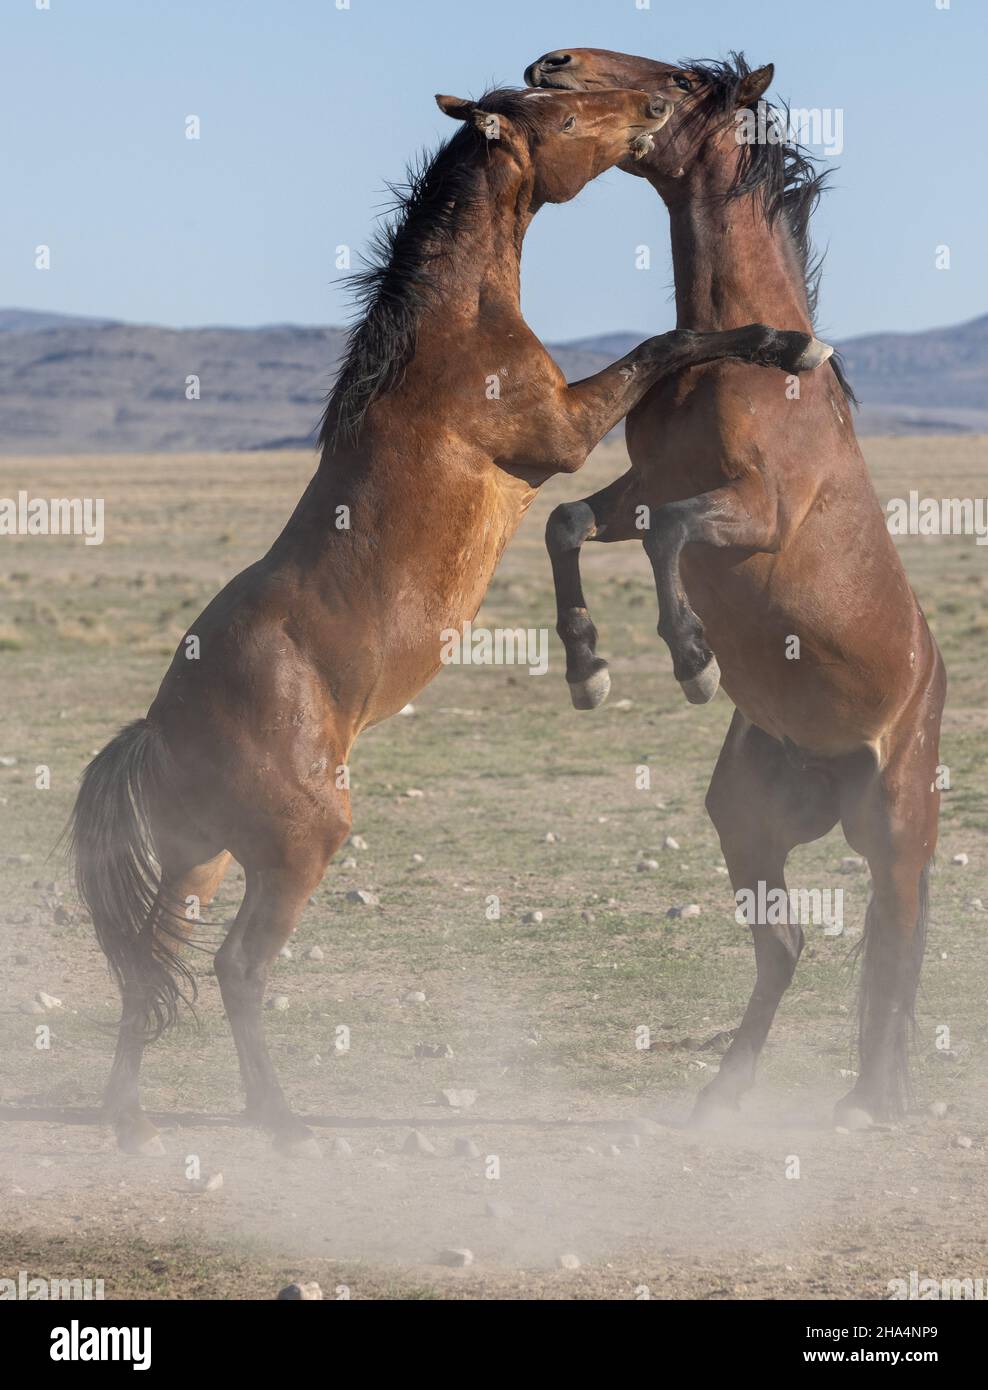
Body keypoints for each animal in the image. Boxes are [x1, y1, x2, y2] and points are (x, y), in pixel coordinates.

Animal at [70, 84, 832, 1155]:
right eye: (560, 111)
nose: (648, 105)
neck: (453, 332)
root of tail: (157, 727)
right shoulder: (564, 430)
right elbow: (662, 346)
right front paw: (790, 343)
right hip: (298, 846)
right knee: (235, 969)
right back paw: (281, 1123)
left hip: (203, 858)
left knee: (150, 964)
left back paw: (128, 1117)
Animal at [526, 48, 946, 1130]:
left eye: (677, 84)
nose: (552, 64)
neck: (745, 369)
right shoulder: (639, 489)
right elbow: (566, 522)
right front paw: (586, 667)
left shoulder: (752, 512)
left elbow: (675, 538)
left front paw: (690, 660)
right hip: (748, 817)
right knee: (788, 946)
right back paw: (725, 1094)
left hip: (897, 824)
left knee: (894, 940)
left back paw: (868, 1102)